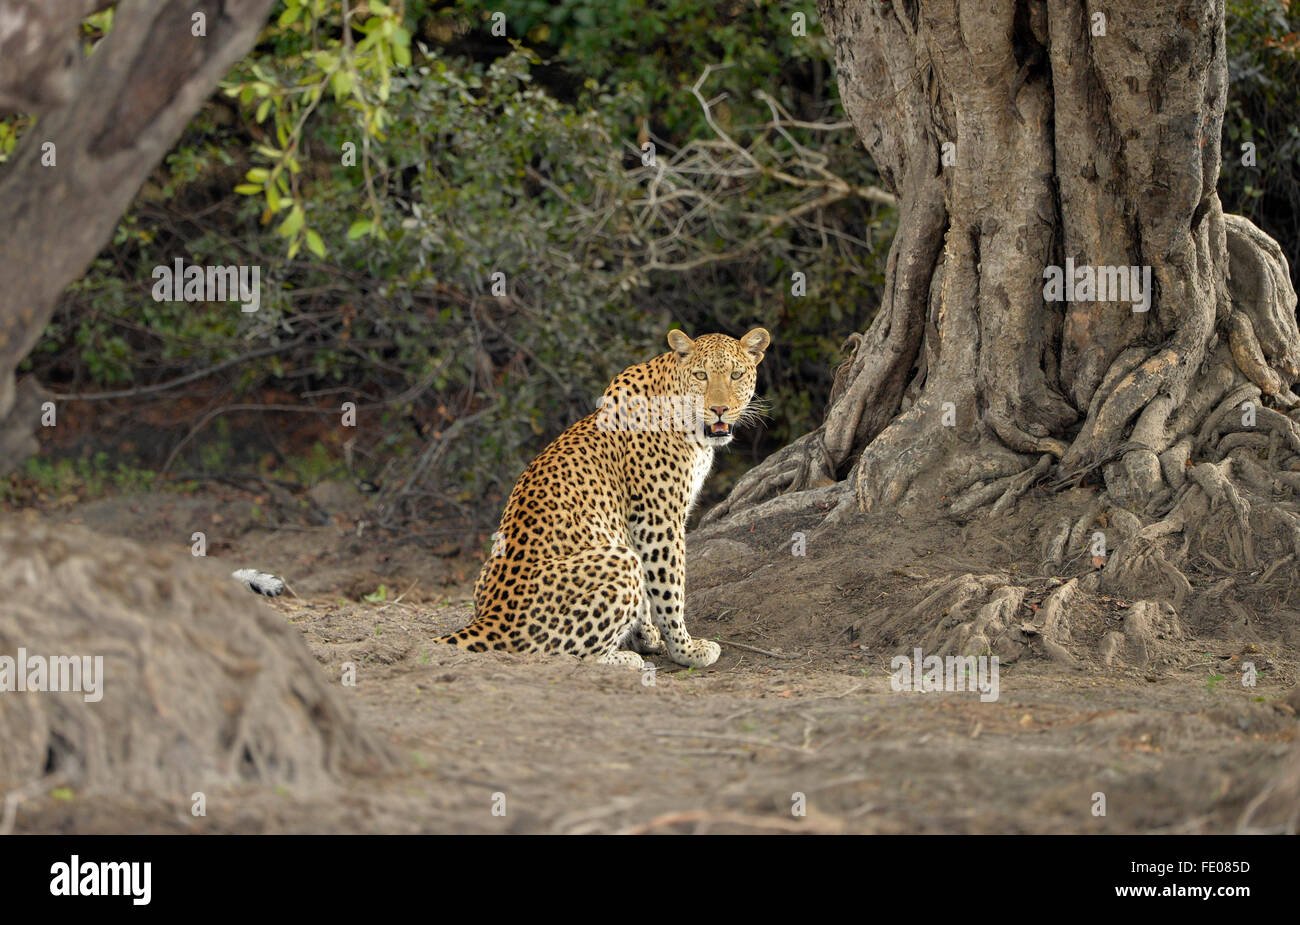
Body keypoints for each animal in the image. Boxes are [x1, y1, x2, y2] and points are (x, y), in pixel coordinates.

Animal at [434, 327, 771, 669]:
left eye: (736, 374)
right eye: (701, 375)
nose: (719, 409)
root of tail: (489, 620)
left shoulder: (638, 527)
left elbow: (649, 594)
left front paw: (647, 636)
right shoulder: (658, 520)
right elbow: (668, 588)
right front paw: (686, 649)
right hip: (621, 562)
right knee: (565, 653)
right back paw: (624, 658)